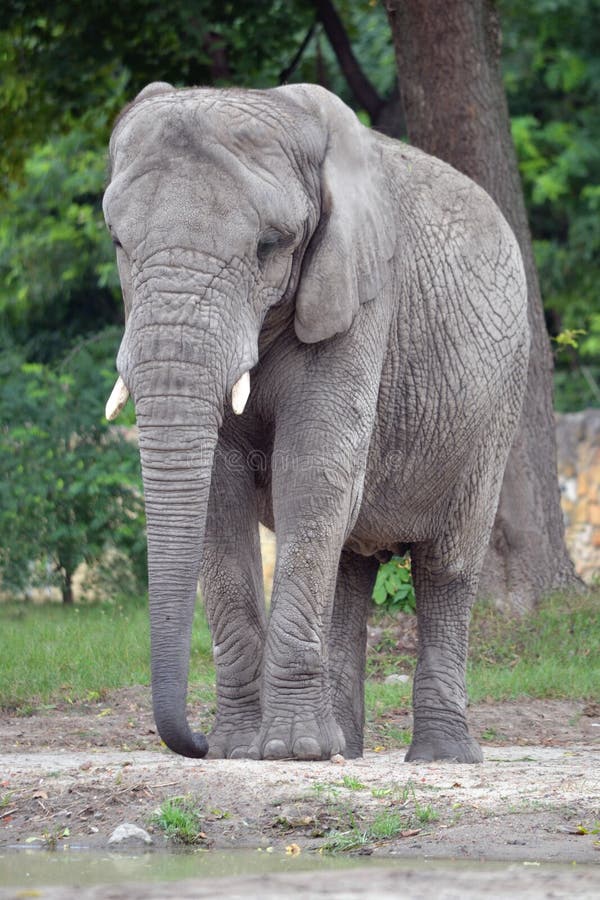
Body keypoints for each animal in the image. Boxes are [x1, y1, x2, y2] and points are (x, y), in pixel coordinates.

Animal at [102, 81, 529, 764]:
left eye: (269, 245)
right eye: (119, 242)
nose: (194, 741)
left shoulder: (361, 295)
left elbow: (313, 474)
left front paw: (287, 752)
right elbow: (220, 490)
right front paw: (238, 750)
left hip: (496, 409)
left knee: (447, 567)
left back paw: (436, 757)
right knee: (352, 560)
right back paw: (343, 750)